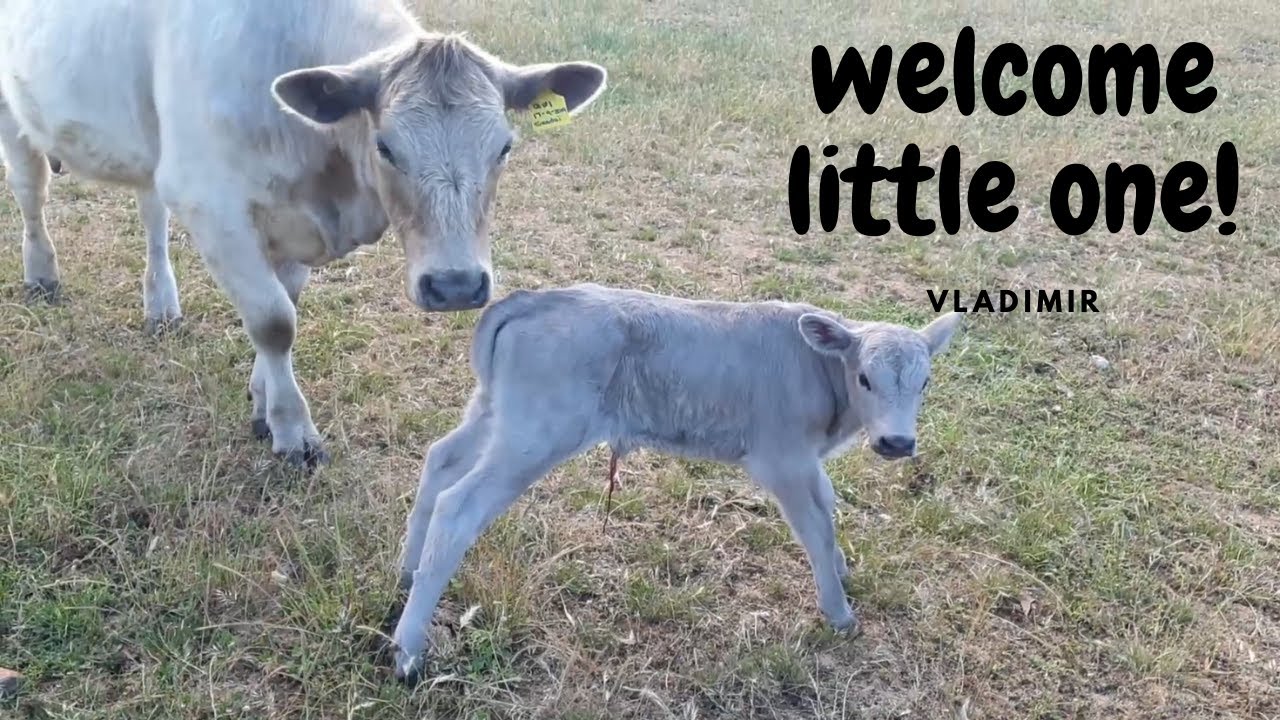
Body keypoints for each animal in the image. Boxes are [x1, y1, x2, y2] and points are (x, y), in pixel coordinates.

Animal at [0, 0, 608, 469]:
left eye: (504, 146)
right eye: (385, 146)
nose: (455, 285)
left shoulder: (292, 222)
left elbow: (283, 307)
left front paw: (261, 401)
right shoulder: (212, 204)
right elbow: (274, 322)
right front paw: (294, 431)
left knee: (151, 215)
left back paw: (161, 304)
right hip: (15, 117)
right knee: (31, 192)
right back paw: (42, 274)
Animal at [391, 283, 964, 683]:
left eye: (925, 382)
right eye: (865, 377)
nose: (897, 442)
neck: (820, 373)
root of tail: (532, 300)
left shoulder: (806, 461)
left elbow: (828, 503)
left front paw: (844, 571)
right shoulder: (782, 459)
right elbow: (815, 530)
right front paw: (840, 613)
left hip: (496, 414)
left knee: (440, 460)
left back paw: (407, 571)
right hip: (535, 434)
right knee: (458, 507)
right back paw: (408, 651)